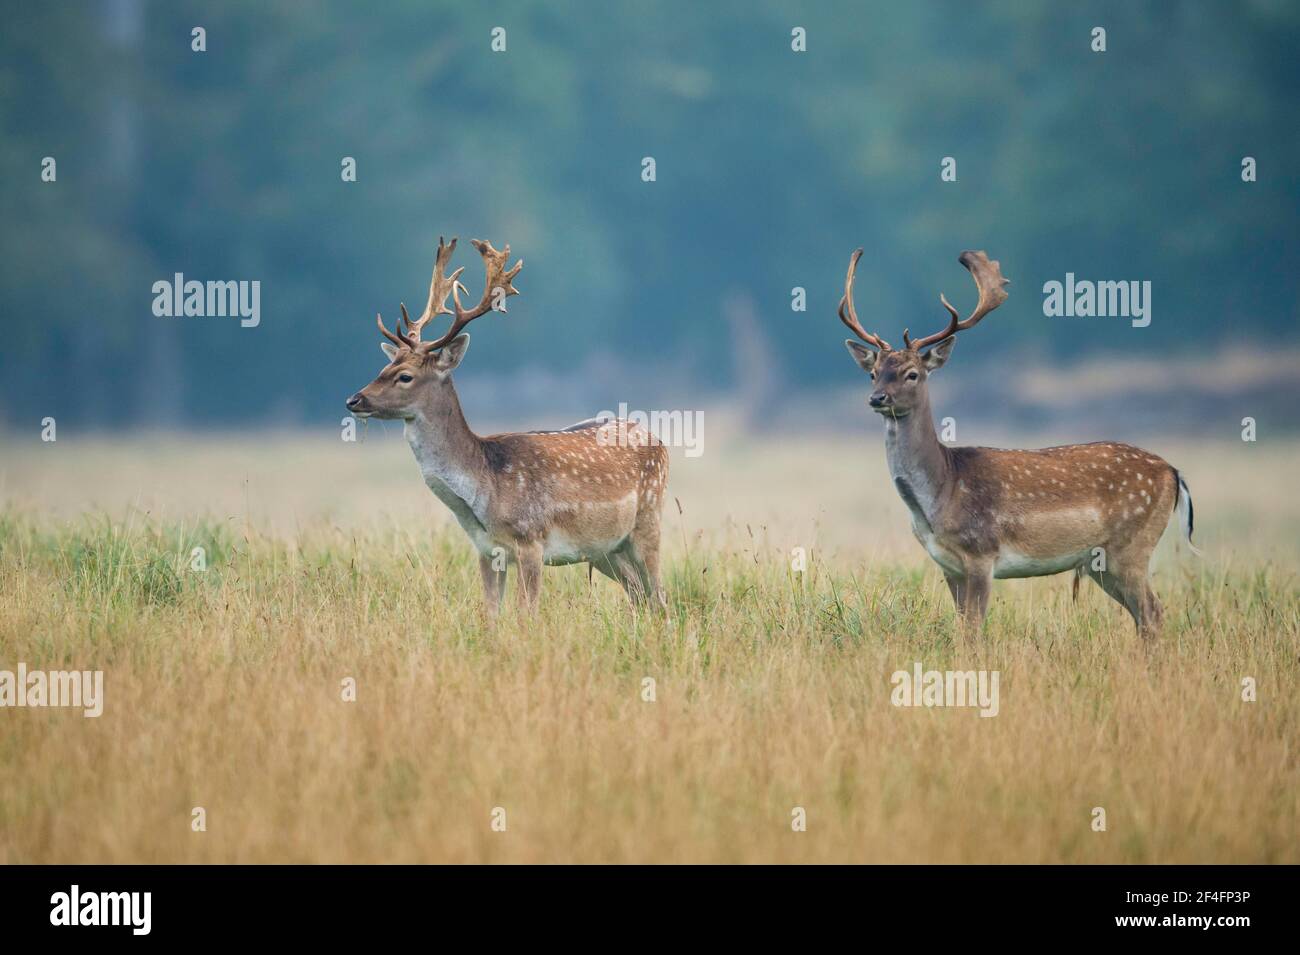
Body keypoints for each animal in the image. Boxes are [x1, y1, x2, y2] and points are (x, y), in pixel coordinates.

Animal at [346, 237, 669, 615]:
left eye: (405, 376)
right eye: (383, 367)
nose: (354, 400)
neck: (484, 491)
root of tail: (658, 439)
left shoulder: (531, 541)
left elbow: (526, 614)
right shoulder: (486, 550)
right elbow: (491, 614)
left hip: (648, 521)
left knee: (659, 596)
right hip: (606, 548)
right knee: (639, 595)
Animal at [837, 248, 1198, 640]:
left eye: (912, 374)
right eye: (874, 373)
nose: (877, 398)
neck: (941, 492)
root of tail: (1174, 472)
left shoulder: (982, 554)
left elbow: (974, 629)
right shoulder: (948, 565)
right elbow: (962, 627)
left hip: (1131, 546)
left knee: (1152, 611)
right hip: (1101, 562)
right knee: (1145, 614)